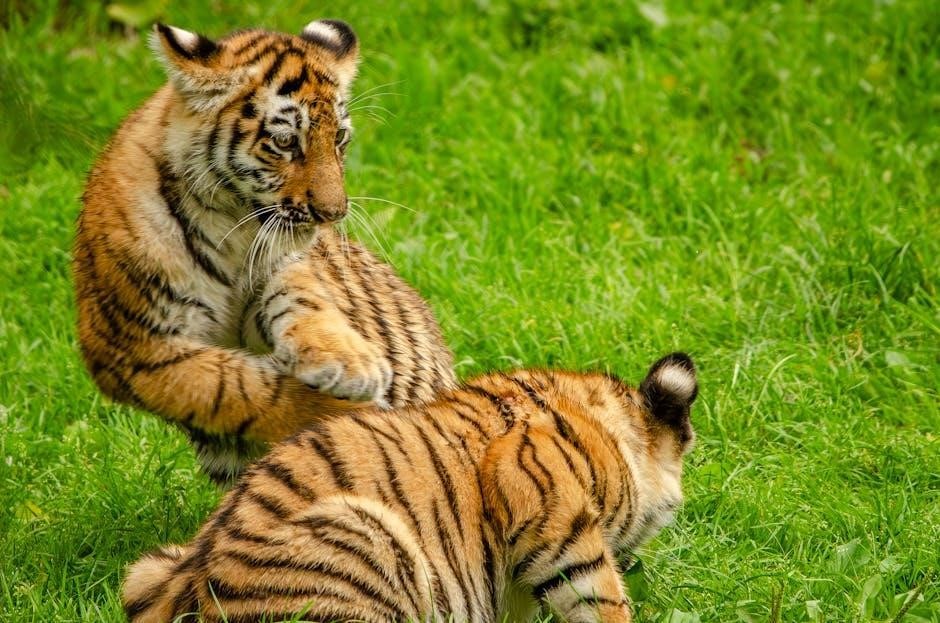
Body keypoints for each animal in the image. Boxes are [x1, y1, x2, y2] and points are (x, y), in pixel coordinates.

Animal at [72, 20, 456, 484]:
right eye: (286, 142)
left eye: (339, 137)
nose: (333, 213)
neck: (229, 221)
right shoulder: (132, 348)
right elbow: (236, 388)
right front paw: (341, 413)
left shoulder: (280, 264)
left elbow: (303, 299)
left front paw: (350, 362)